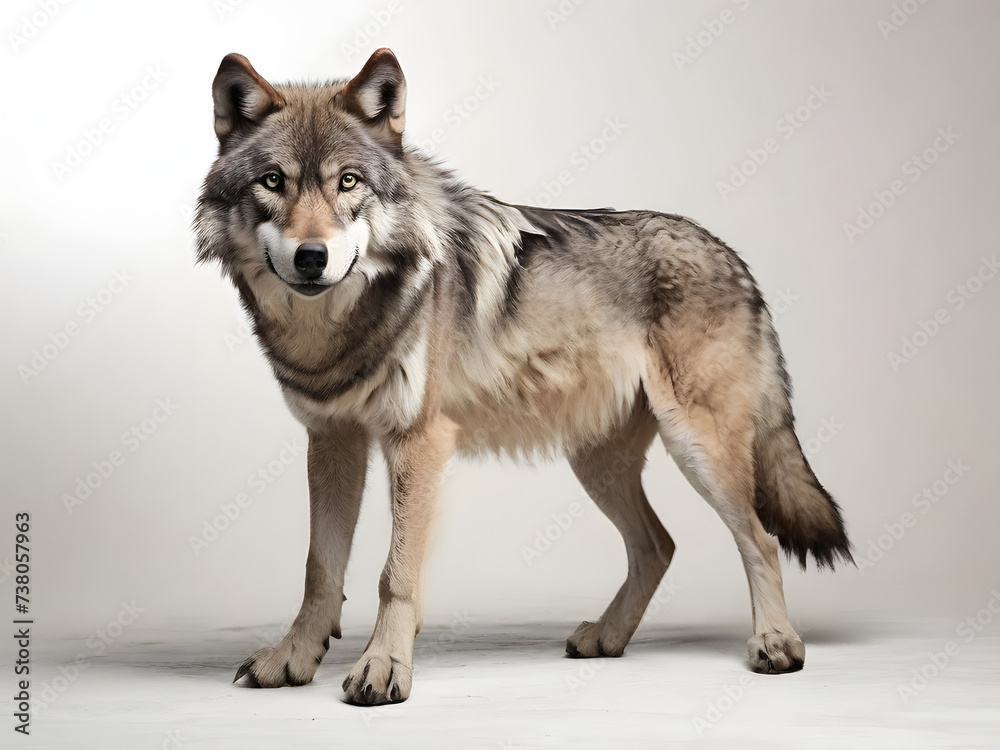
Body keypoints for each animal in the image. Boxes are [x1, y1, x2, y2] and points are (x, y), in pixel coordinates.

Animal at [194, 48, 852, 706]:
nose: (311, 257)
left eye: (348, 182)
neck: (336, 329)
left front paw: (382, 668)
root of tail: (734, 258)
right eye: (272, 182)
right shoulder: (333, 441)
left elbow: (394, 575)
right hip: (596, 463)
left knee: (759, 539)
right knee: (658, 546)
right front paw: (292, 660)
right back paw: (607, 637)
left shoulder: (418, 443)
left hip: (698, 450)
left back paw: (775, 644)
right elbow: (319, 569)